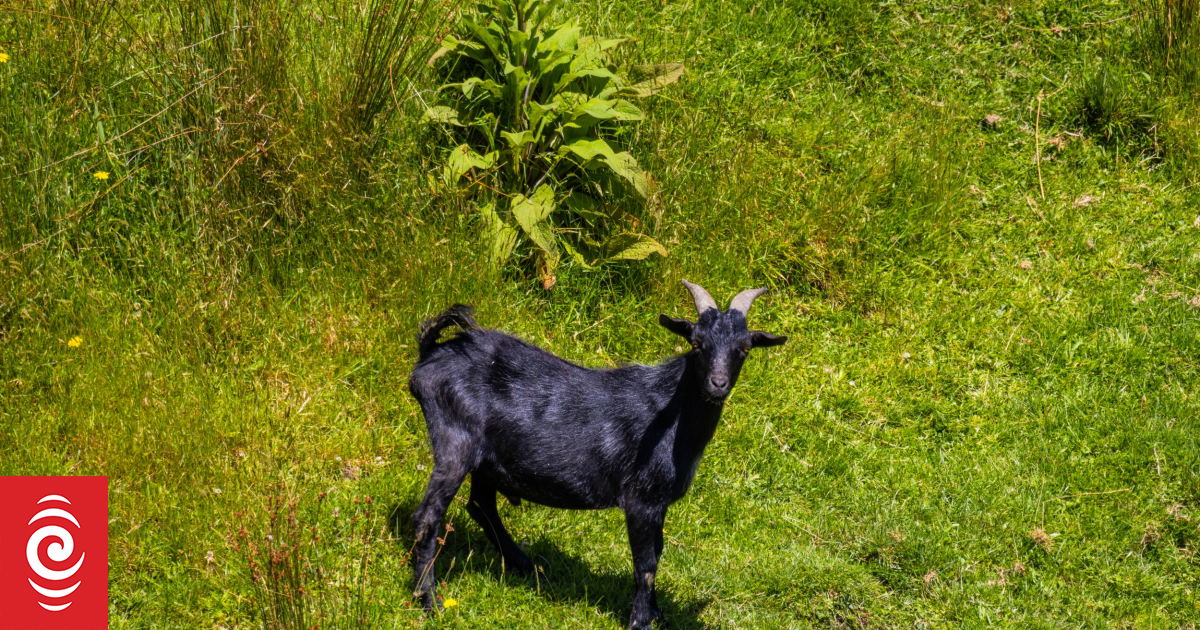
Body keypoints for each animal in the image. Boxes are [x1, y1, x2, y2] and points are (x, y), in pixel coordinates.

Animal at [407, 280, 786, 628]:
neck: (670, 411)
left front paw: (656, 612)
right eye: (697, 343)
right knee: (428, 517)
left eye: (745, 348)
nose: (717, 384)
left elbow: (658, 550)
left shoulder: (659, 500)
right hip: (455, 443)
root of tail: (431, 354)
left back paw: (526, 565)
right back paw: (429, 601)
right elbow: (646, 563)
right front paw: (640, 621)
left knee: (481, 505)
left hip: (486, 460)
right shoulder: (641, 498)